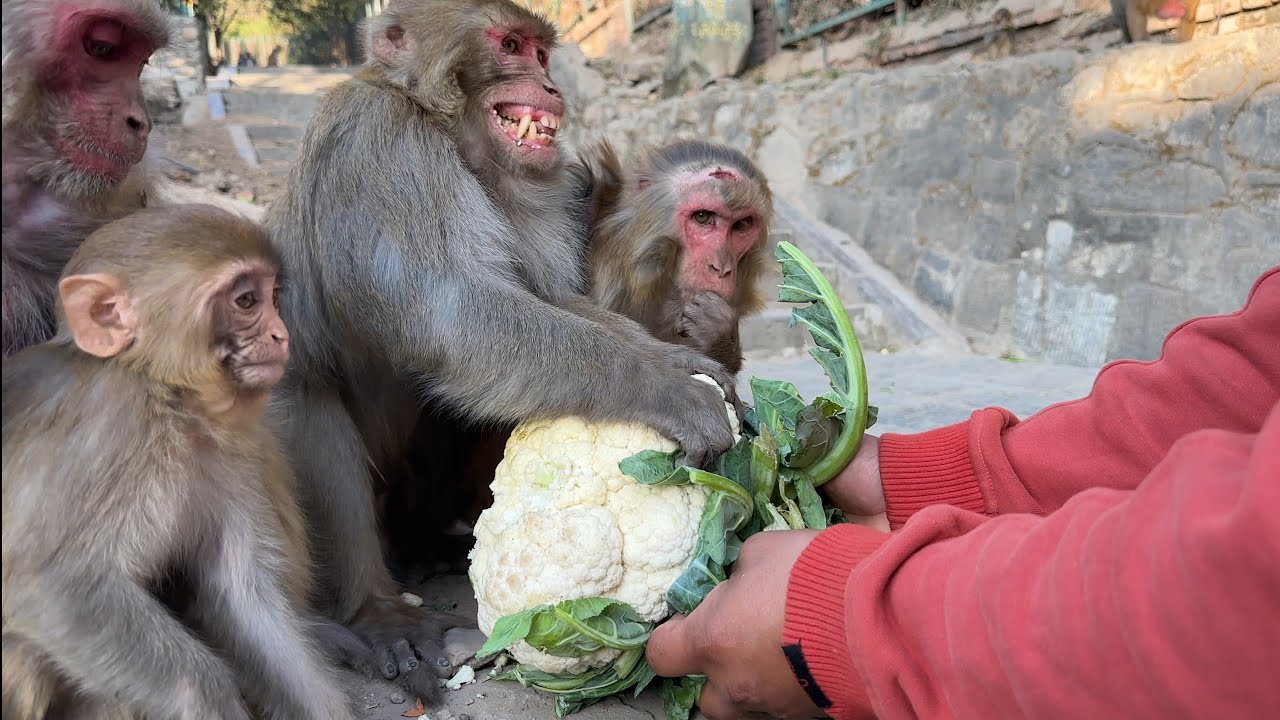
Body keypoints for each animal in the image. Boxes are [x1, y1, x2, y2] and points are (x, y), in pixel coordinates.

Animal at [1, 204, 355, 720]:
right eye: (247, 300)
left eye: (272, 296)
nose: (281, 334)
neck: (168, 398)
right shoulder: (114, 426)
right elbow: (51, 584)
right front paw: (211, 699)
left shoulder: (230, 454)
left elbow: (243, 597)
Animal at [263, 0, 740, 703]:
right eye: (511, 46)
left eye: (541, 52)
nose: (549, 85)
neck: (448, 133)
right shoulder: (380, 142)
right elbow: (452, 313)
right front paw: (670, 392)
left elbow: (546, 299)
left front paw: (686, 363)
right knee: (307, 405)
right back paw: (376, 612)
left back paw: (424, 543)